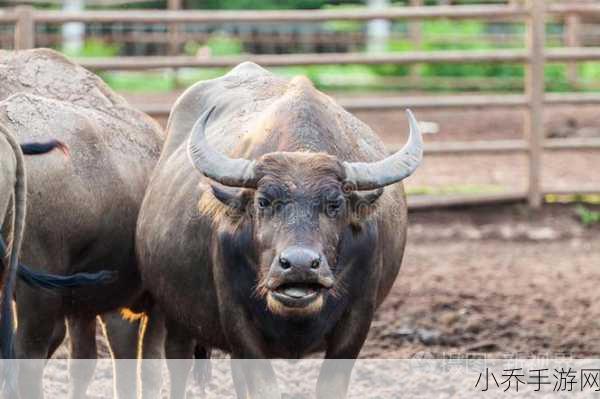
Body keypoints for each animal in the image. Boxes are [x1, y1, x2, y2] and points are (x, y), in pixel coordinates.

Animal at [136, 62, 422, 396]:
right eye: (263, 201)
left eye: (335, 203)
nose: (299, 265)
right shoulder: (237, 320)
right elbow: (263, 385)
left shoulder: (358, 319)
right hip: (177, 315)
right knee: (178, 367)